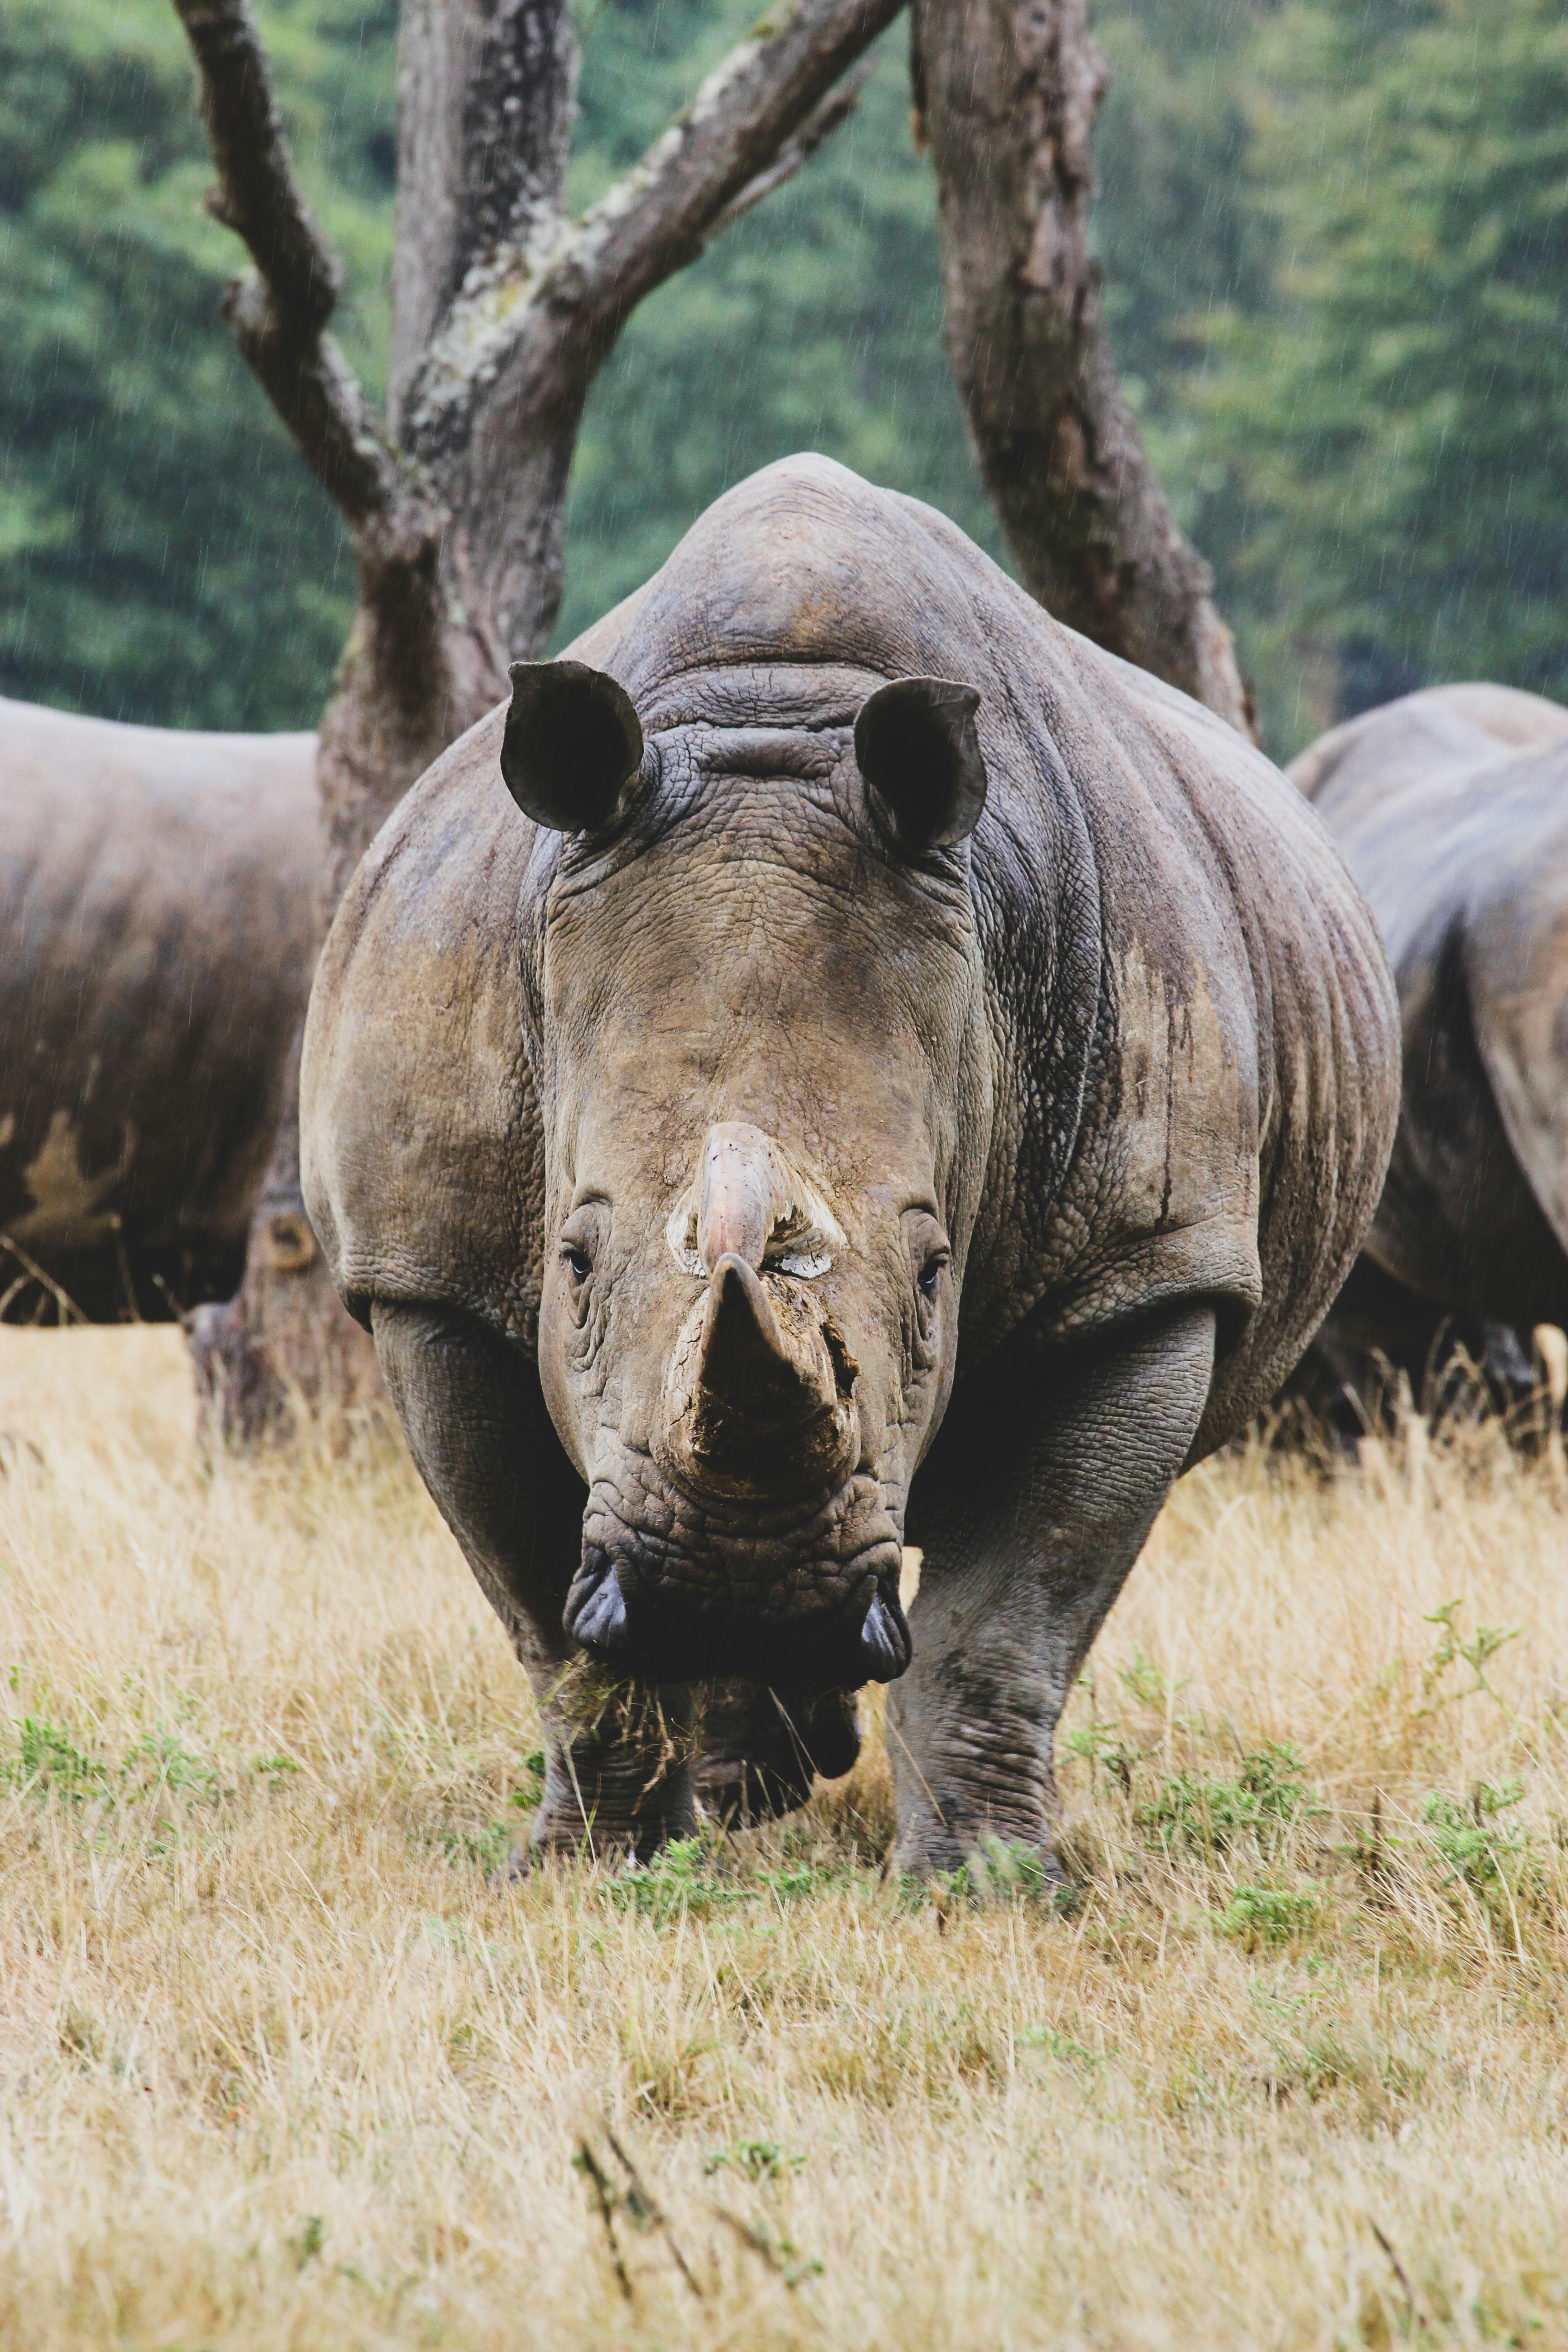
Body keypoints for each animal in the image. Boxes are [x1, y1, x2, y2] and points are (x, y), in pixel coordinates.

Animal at [301, 457, 1398, 1874]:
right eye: (572, 1264)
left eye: (936, 1273)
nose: (741, 1591)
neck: (770, 718)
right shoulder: (426, 1263)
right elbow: (549, 1622)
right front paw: (588, 1866)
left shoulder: (1142, 1265)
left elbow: (1007, 1615)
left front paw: (989, 1885)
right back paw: (747, 1783)